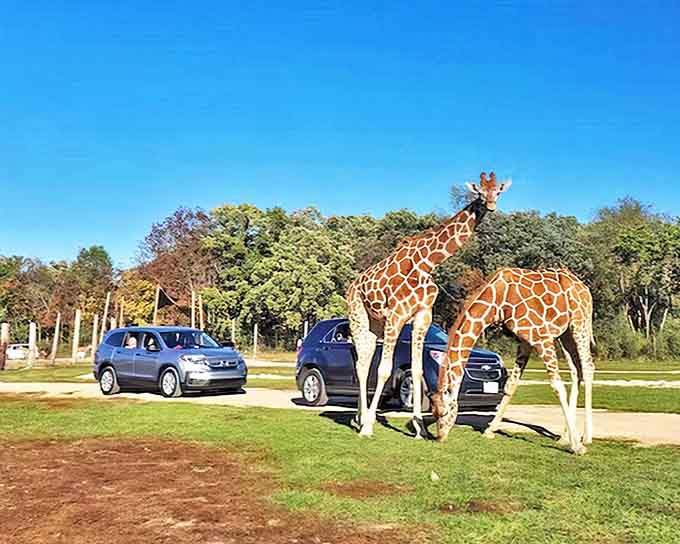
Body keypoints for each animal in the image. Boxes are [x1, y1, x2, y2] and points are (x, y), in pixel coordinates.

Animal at [347, 172, 512, 438]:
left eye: (497, 191)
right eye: (479, 191)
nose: (490, 205)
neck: (427, 263)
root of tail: (353, 285)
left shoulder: (422, 315)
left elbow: (417, 371)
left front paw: (419, 428)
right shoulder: (396, 314)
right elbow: (384, 369)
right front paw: (369, 427)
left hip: (376, 324)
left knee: (363, 362)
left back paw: (358, 418)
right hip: (358, 316)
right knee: (362, 365)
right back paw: (363, 422)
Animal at [431, 267, 595, 455]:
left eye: (443, 412)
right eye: (433, 412)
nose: (440, 437)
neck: (498, 301)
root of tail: (584, 287)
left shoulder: (541, 337)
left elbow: (557, 386)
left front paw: (577, 447)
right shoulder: (525, 341)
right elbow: (511, 385)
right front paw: (489, 430)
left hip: (580, 323)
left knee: (588, 366)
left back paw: (586, 437)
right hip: (565, 333)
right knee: (576, 370)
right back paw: (564, 437)